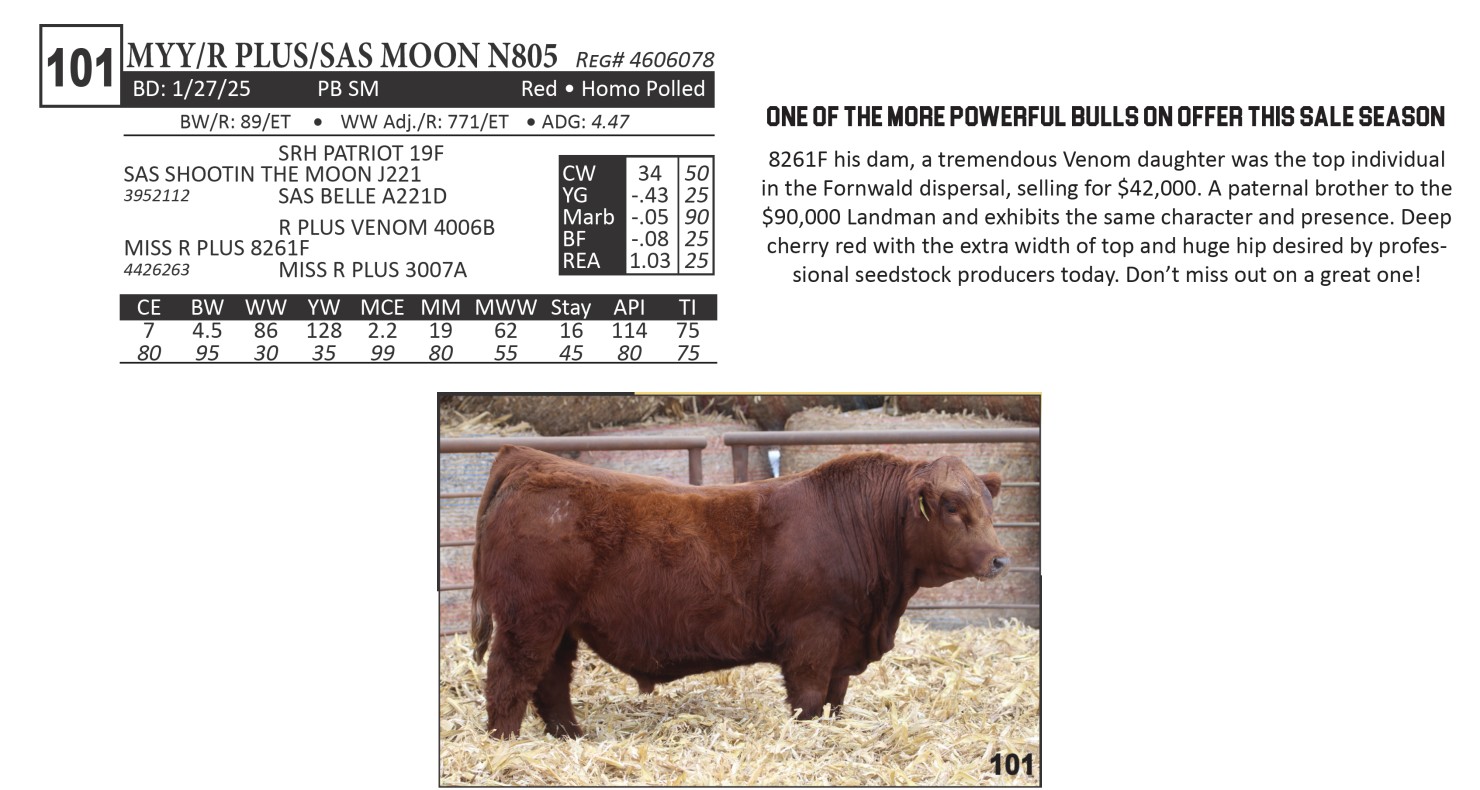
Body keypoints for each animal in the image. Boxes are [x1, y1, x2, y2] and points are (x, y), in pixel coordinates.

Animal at [469, 445, 1010, 738]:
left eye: (988, 507)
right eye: (951, 507)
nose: (999, 559)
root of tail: (529, 459)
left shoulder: (845, 641)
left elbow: (835, 699)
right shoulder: (813, 634)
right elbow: (809, 698)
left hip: (559, 626)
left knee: (551, 682)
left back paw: (570, 737)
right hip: (528, 619)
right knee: (509, 679)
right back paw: (506, 742)